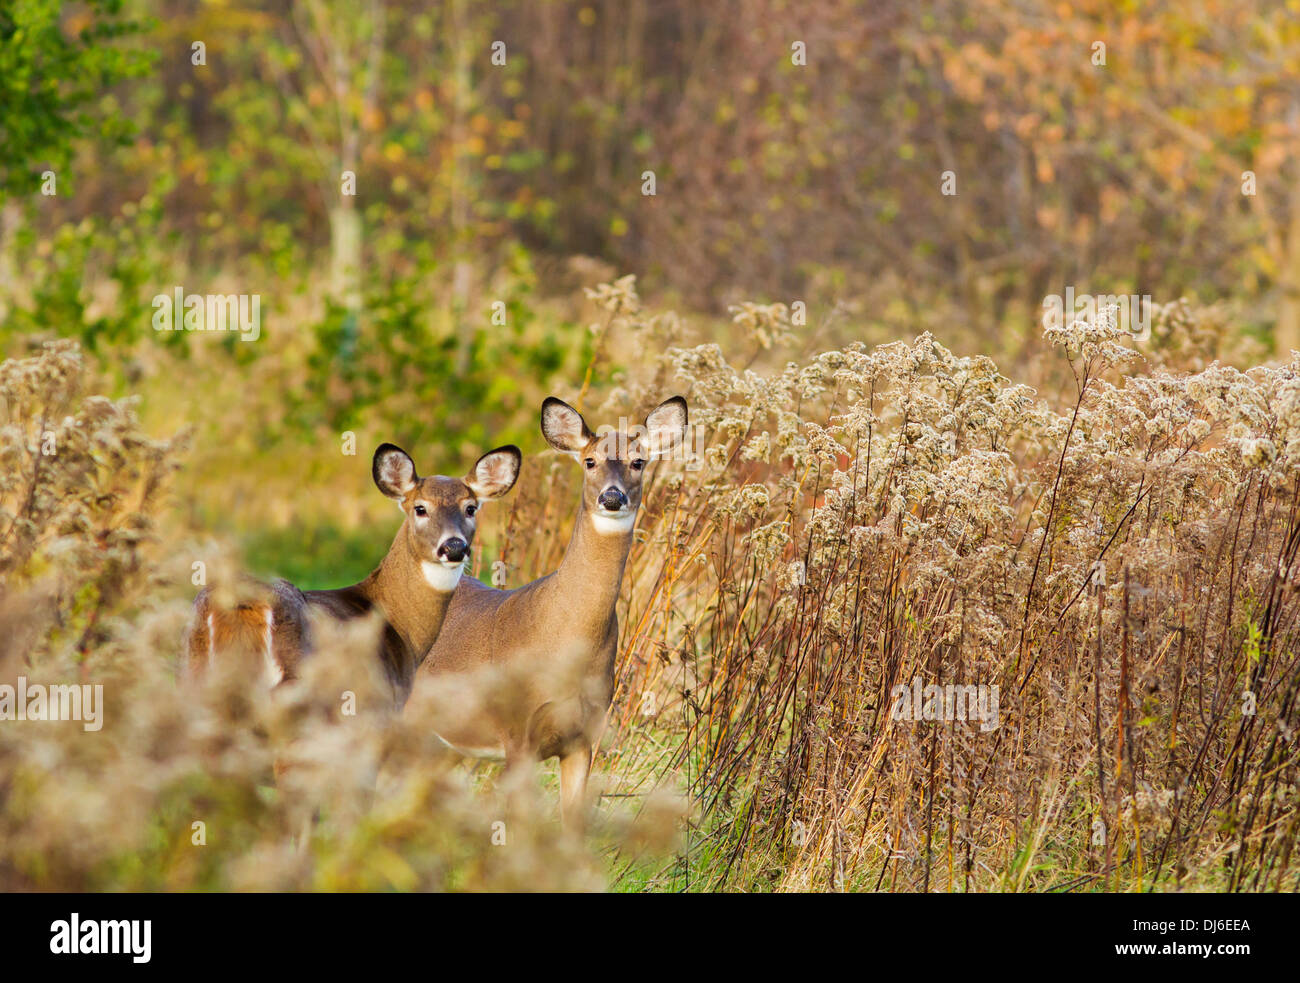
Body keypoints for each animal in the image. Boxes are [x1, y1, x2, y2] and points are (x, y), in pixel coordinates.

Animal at [409, 395, 688, 831]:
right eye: (589, 460)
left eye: (639, 461)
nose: (612, 497)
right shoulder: (516, 733)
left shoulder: (583, 738)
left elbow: (573, 826)